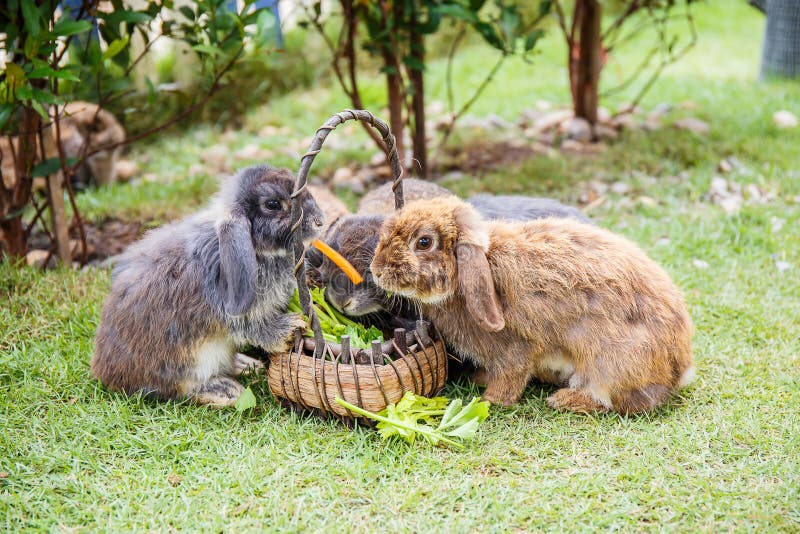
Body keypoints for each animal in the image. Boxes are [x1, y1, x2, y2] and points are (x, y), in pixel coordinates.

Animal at [92, 165, 326, 407]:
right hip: (187, 360)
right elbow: (252, 326)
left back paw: (245, 365)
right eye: (273, 204)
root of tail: (106, 373)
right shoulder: (233, 308)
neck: (254, 247)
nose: (320, 222)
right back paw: (227, 390)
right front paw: (291, 328)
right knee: (179, 388)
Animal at [369, 197, 695, 415]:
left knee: (616, 399)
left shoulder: (516, 348)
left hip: (611, 361)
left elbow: (511, 375)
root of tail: (679, 367)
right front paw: (479, 379)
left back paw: (565, 399)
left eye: (424, 242)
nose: (376, 271)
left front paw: (490, 399)